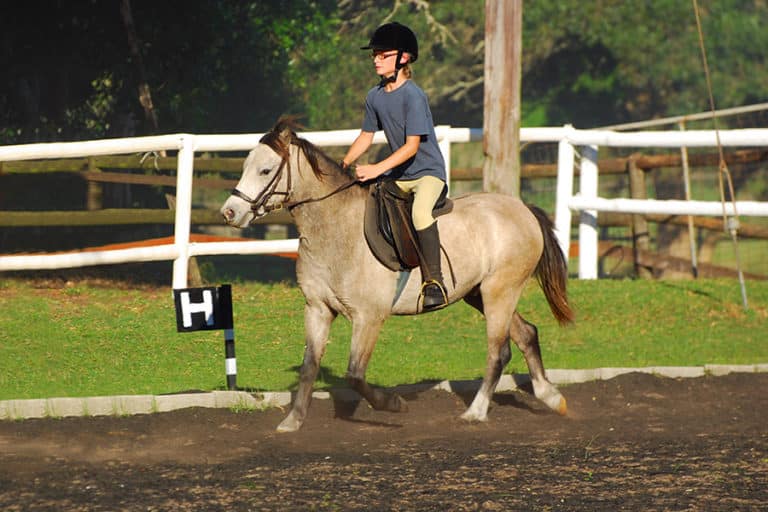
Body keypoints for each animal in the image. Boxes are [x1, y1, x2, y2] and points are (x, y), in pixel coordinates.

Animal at [221, 117, 574, 432]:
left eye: (265, 171)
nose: (229, 212)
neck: (335, 229)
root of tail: (524, 209)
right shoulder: (318, 309)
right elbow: (310, 366)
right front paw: (292, 421)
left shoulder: (368, 317)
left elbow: (355, 374)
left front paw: (393, 405)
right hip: (481, 294)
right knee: (526, 334)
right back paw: (552, 398)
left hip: (500, 292)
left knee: (497, 351)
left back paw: (475, 412)